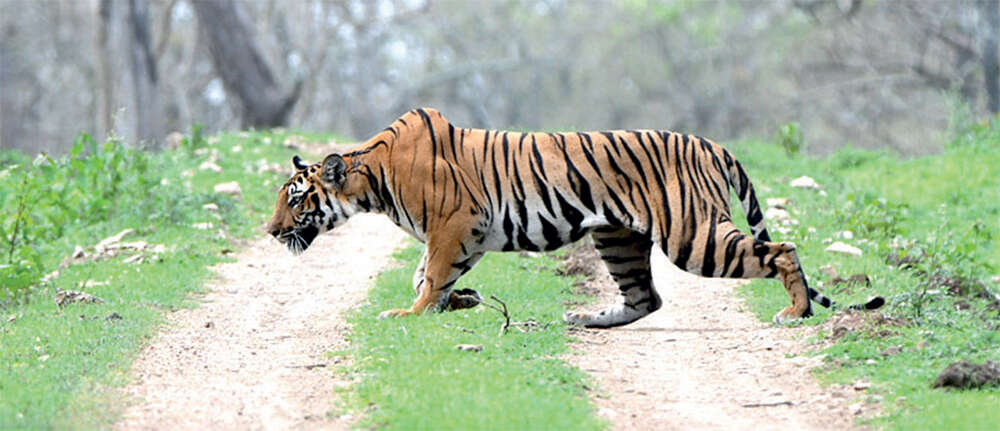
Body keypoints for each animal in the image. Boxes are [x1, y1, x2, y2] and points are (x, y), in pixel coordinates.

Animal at [266, 108, 883, 328]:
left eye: (295, 200)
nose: (270, 232)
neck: (371, 178)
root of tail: (710, 143)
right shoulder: (467, 234)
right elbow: (430, 274)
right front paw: (456, 302)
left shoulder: (455, 225)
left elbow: (431, 273)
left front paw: (412, 312)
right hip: (620, 238)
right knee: (646, 298)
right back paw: (590, 319)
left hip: (695, 234)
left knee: (782, 251)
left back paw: (796, 311)